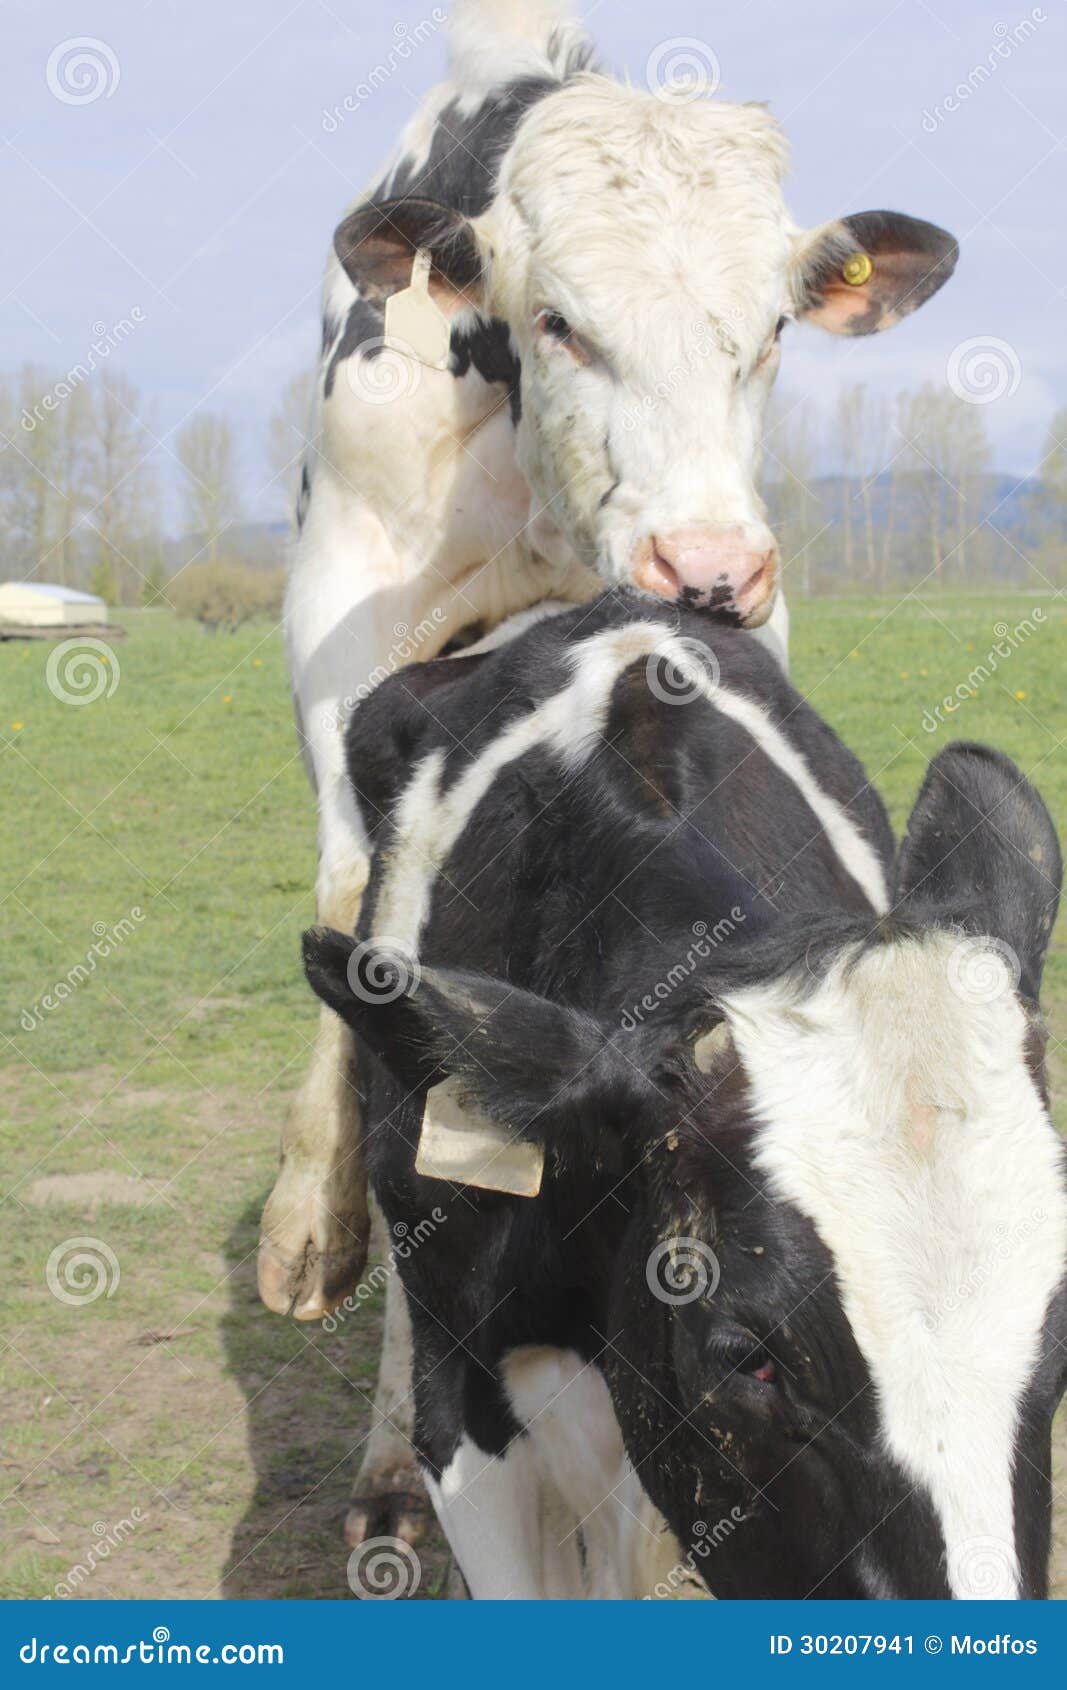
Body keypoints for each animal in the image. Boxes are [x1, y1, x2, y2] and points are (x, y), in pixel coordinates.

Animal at [264, 0, 959, 1542]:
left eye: (770, 330)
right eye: (558, 321)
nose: (703, 567)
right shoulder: (347, 620)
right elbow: (353, 927)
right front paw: (311, 1221)